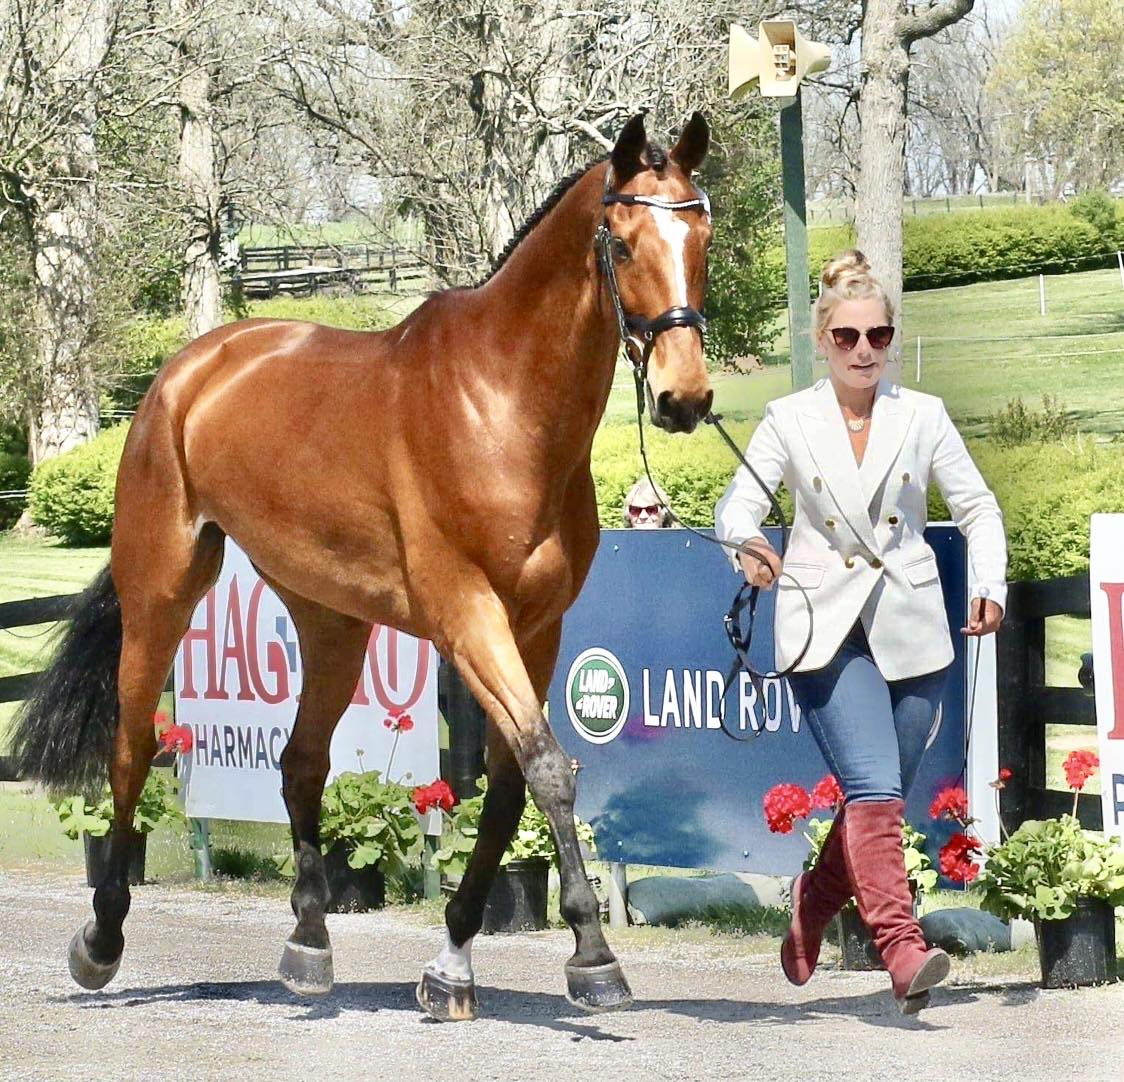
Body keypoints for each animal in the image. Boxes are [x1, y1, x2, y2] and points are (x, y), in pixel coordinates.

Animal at [12, 112, 714, 1021]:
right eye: (623, 245)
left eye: (702, 238)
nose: (685, 398)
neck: (503, 405)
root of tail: (188, 370)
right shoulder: (468, 617)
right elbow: (550, 769)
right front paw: (594, 957)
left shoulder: (537, 630)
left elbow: (509, 788)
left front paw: (451, 966)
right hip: (163, 596)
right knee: (132, 750)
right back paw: (101, 940)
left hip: (331, 621)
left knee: (301, 764)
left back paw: (310, 942)